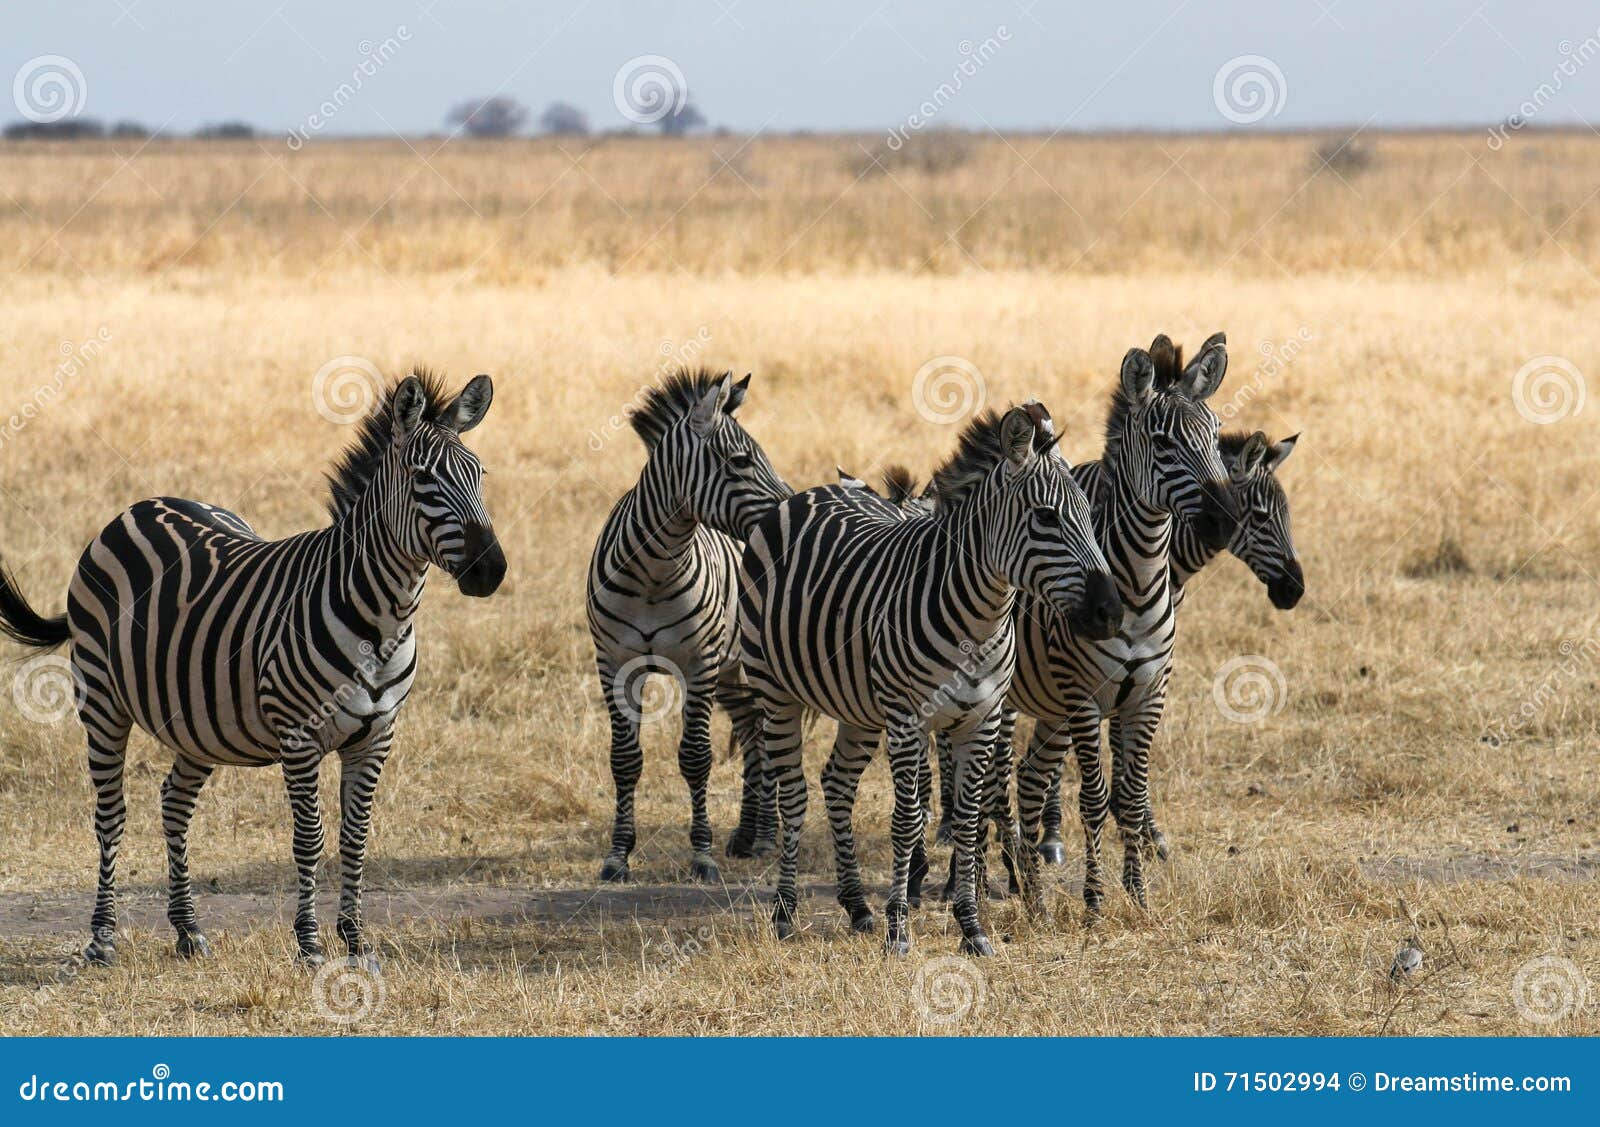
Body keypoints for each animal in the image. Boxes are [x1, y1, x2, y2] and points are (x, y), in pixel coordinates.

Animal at [0, 371, 505, 966]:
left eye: (480, 475)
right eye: (423, 479)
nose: (492, 570)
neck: (384, 620)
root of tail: (137, 507)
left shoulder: (376, 736)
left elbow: (355, 836)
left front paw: (356, 940)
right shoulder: (301, 736)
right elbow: (310, 838)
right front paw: (310, 945)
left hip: (196, 721)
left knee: (174, 802)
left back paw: (187, 930)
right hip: (102, 701)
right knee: (111, 814)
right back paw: (102, 939)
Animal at [587, 369, 791, 885]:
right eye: (740, 461)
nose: (788, 517)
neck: (653, 573)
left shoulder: (699, 665)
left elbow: (696, 758)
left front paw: (702, 855)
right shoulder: (614, 665)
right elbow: (625, 760)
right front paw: (618, 855)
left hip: (750, 664)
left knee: (768, 734)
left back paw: (765, 834)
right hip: (733, 674)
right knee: (753, 730)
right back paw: (749, 834)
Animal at [738, 403, 1122, 956]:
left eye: (1091, 517)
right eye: (1046, 517)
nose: (1110, 613)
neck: (979, 620)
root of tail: (807, 493)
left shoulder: (982, 720)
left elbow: (967, 819)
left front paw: (971, 927)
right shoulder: (907, 720)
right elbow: (907, 820)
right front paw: (899, 930)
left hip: (858, 708)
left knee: (837, 783)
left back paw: (857, 907)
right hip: (776, 691)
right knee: (793, 794)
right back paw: (785, 914)